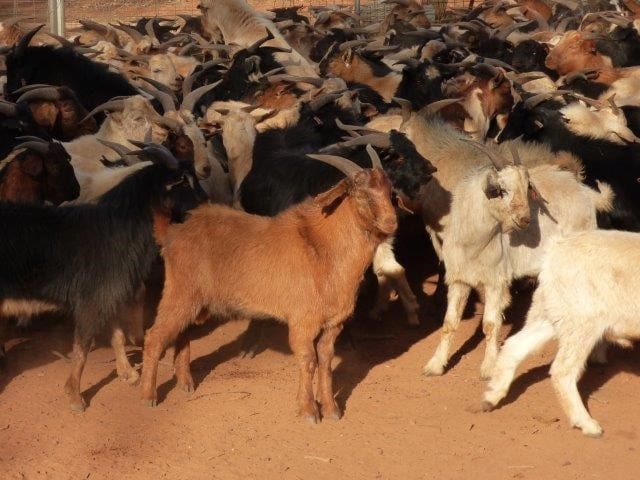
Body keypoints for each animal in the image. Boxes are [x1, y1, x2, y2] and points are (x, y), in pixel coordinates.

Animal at [0, 144, 206, 410]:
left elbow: (117, 335)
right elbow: (82, 347)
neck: (117, 226)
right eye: (181, 181)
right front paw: (75, 396)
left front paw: (127, 373)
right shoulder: (91, 300)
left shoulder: (111, 292)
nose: (206, 203)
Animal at [140, 155, 397, 423]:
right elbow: (308, 361)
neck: (324, 249)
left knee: (181, 333)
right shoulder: (302, 323)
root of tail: (172, 233)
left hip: (193, 302)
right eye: (362, 195)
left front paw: (331, 409)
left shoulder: (333, 324)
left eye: (391, 193)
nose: (391, 222)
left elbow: (325, 361)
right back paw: (149, 396)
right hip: (180, 292)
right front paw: (308, 411)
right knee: (154, 336)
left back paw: (186, 383)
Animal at [482, 229, 640, 437]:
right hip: (582, 320)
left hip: (552, 311)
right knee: (562, 371)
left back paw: (491, 396)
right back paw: (586, 424)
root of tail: (555, 250)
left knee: (515, 345)